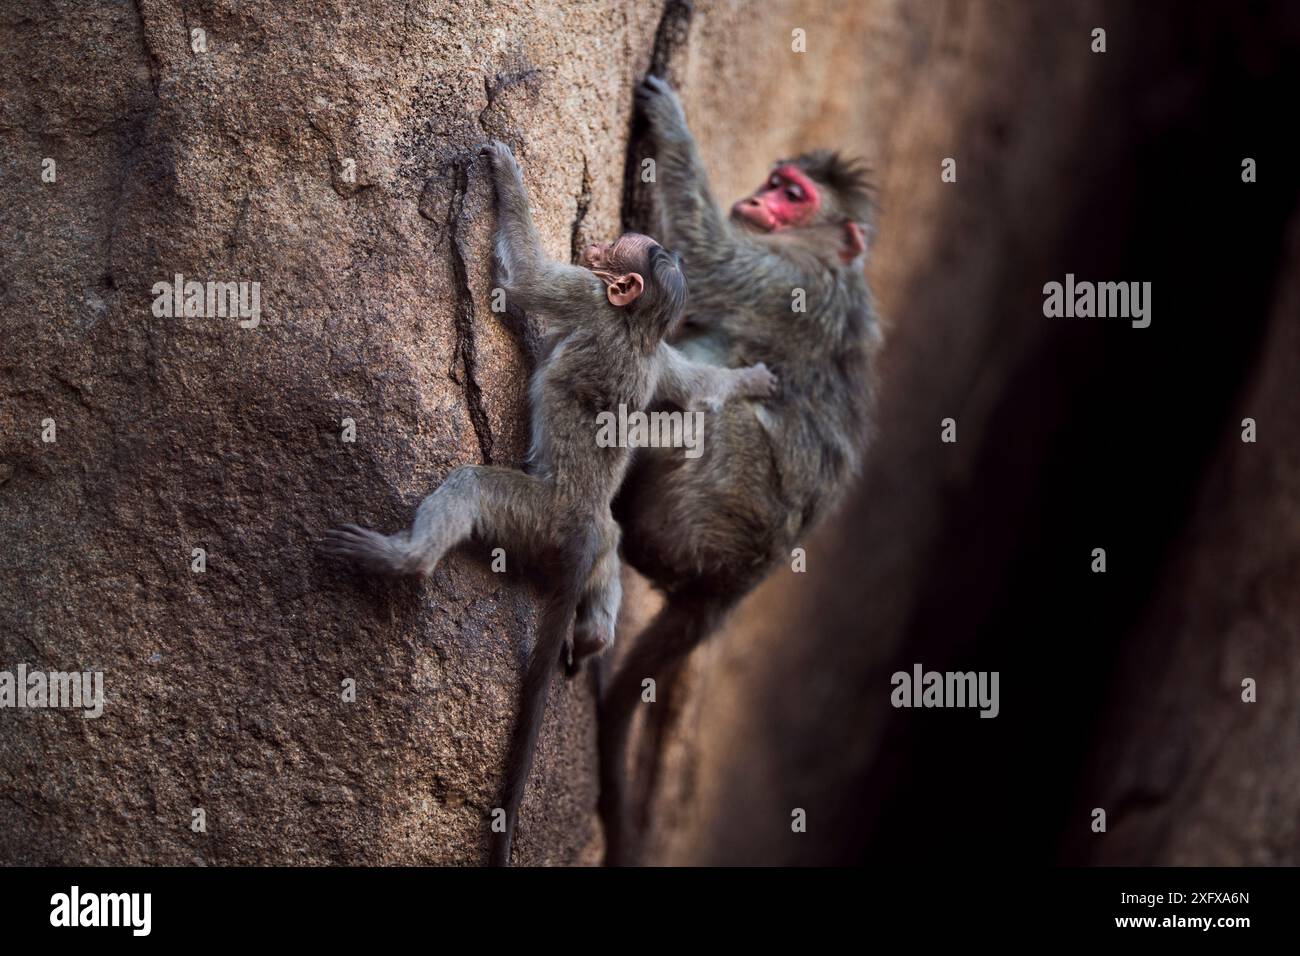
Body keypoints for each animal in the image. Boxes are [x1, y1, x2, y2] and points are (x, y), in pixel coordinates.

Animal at [323, 139, 778, 865]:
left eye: (612, 252)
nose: (595, 242)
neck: (637, 326)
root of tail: (583, 525)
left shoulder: (589, 299)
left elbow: (529, 278)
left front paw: (502, 169)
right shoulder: (656, 353)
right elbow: (695, 389)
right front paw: (751, 380)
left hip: (532, 515)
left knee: (472, 489)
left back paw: (401, 557)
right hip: (596, 539)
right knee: (611, 557)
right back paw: (593, 633)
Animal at [598, 76, 880, 864]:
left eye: (794, 195)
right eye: (776, 181)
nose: (757, 197)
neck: (824, 262)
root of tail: (735, 585)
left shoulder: (780, 282)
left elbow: (705, 258)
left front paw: (671, 122)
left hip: (720, 516)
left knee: (725, 413)